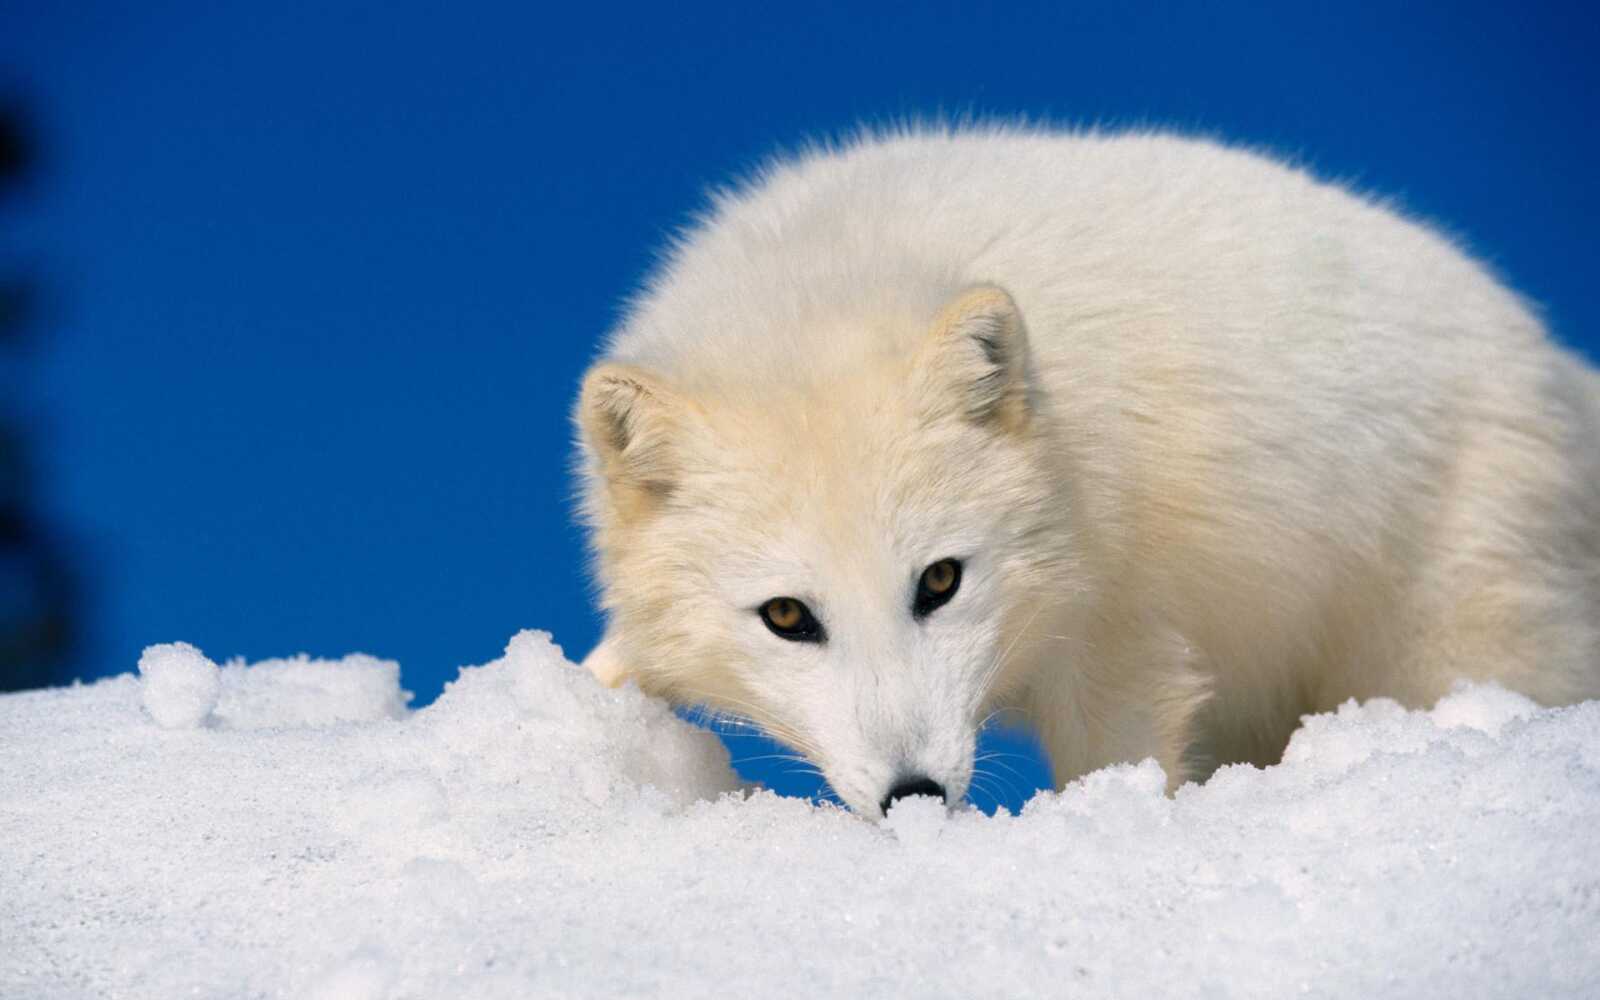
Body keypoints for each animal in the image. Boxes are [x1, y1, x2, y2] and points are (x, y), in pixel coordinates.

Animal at [573, 126, 1600, 819]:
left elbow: (1122, 761)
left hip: (1451, 644)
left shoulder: (1124, 639)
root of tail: (1554, 363)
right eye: (787, 616)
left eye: (940, 581)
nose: (914, 795)